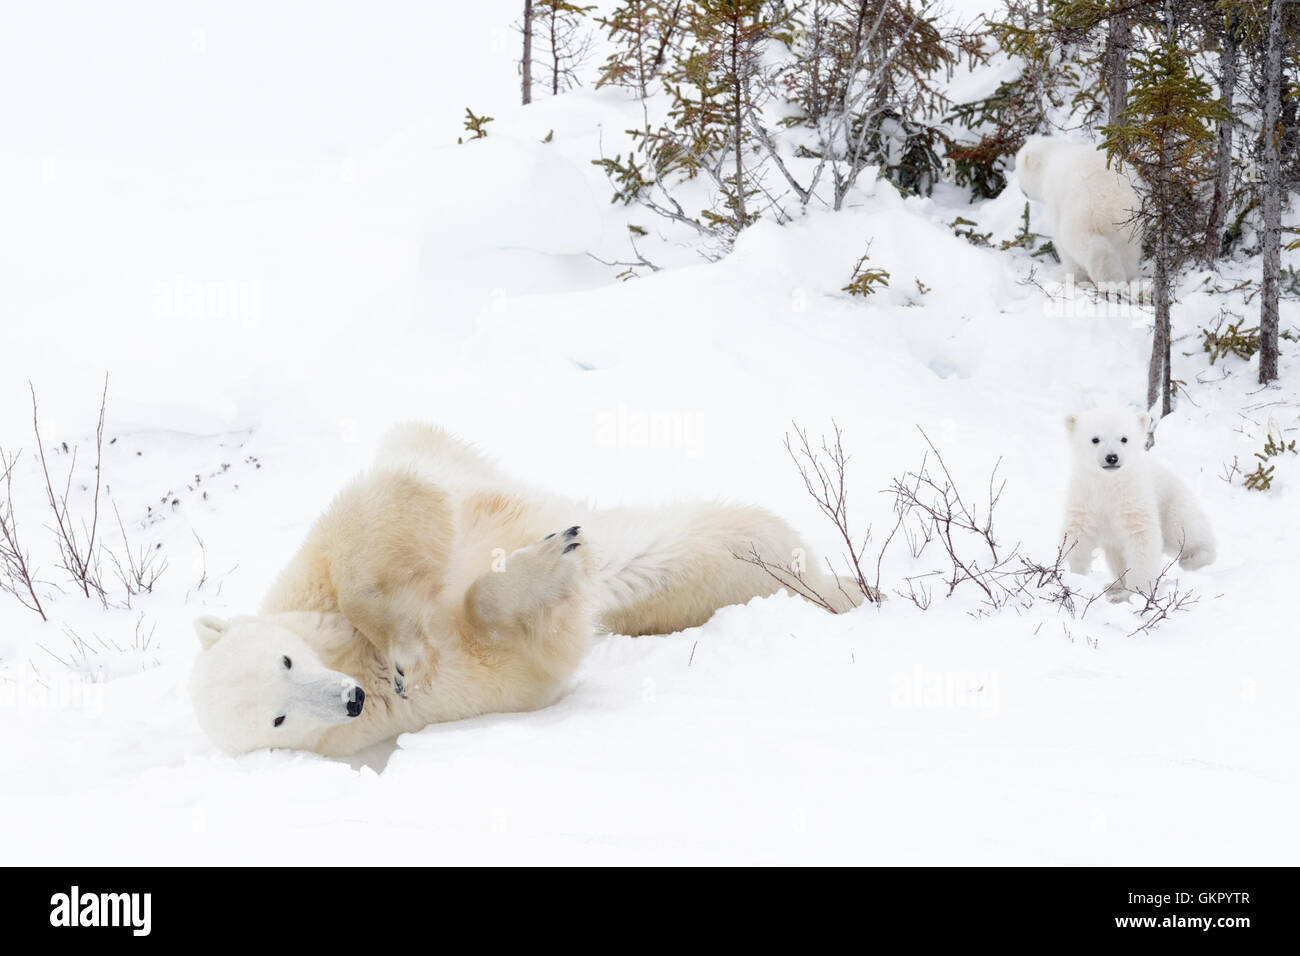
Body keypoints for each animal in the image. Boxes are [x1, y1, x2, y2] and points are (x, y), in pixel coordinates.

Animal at [189, 423, 867, 756]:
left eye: (286, 658)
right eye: (277, 719)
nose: (350, 699)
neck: (353, 659)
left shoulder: (314, 571)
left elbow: (385, 504)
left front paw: (406, 649)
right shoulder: (446, 701)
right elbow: (525, 652)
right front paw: (551, 561)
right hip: (691, 571)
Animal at [1015, 135, 1142, 287]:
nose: (1021, 189)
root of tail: (1115, 203)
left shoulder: (1054, 199)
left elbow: (1061, 241)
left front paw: (1073, 277)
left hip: (1083, 216)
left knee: (1092, 248)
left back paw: (1108, 281)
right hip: (1131, 228)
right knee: (1129, 253)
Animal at [1061, 406, 1216, 601]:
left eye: (1124, 438)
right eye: (1095, 439)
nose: (1112, 457)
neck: (1108, 483)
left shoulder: (1133, 498)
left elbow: (1141, 539)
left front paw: (1136, 593)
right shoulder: (1085, 498)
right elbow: (1077, 537)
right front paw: (1073, 578)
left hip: (1170, 501)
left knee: (1183, 529)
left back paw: (1195, 557)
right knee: (1116, 556)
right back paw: (1114, 587)